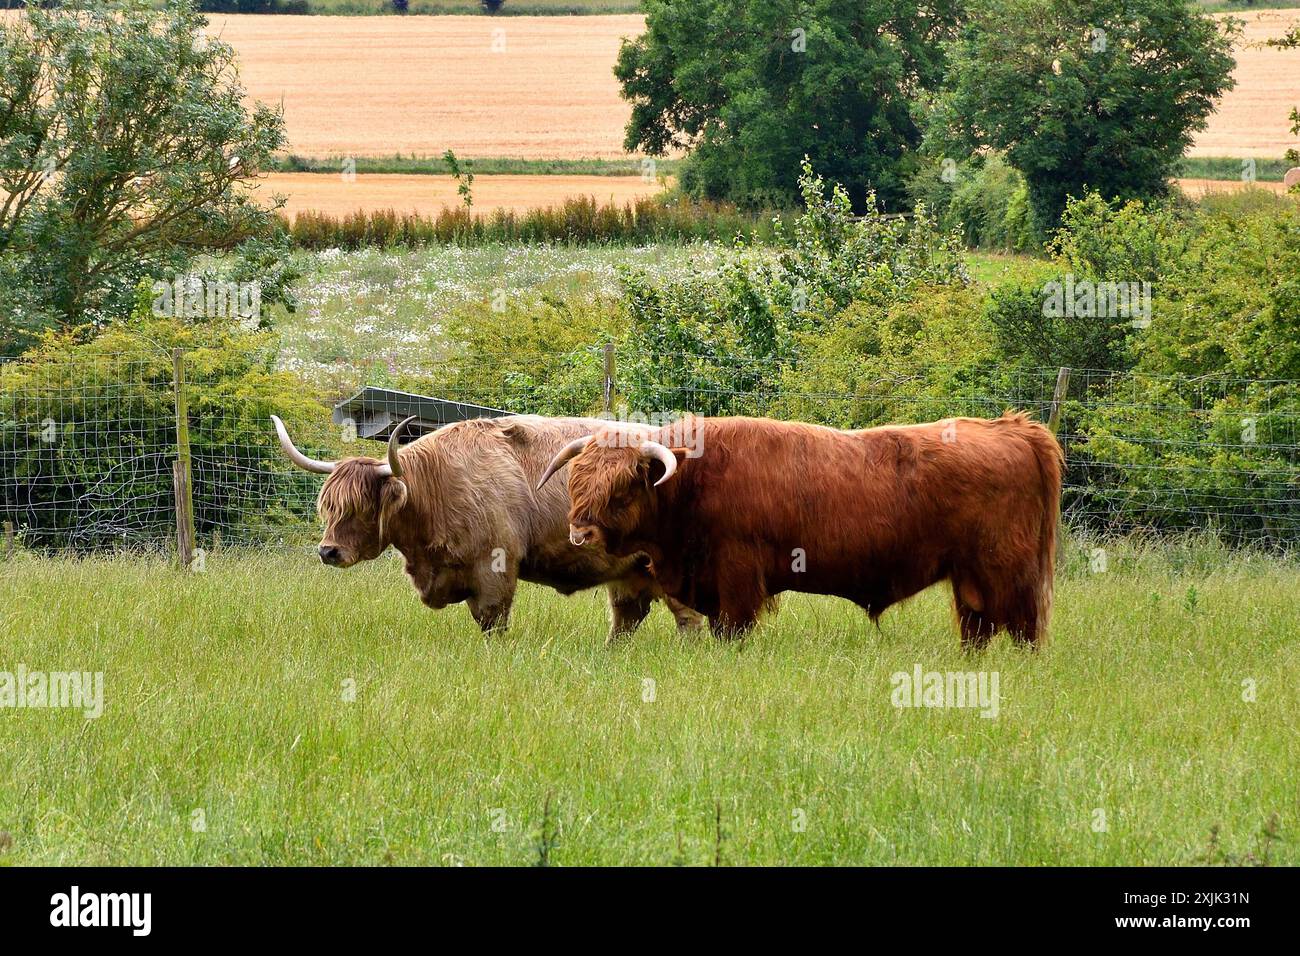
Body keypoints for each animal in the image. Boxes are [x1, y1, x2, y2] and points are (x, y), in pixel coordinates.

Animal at [272, 414, 703, 641]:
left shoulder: (495, 566)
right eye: (328, 506)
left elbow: (493, 619)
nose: (328, 551)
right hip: (629, 572)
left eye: (360, 507)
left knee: (687, 616)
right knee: (626, 616)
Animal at [537, 413, 1063, 648]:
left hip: (1007, 571)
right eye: (577, 480)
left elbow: (732, 629)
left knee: (1023, 627)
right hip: (969, 578)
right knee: (978, 627)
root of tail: (1013, 426)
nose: (580, 533)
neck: (694, 480)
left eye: (622, 488)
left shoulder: (737, 579)